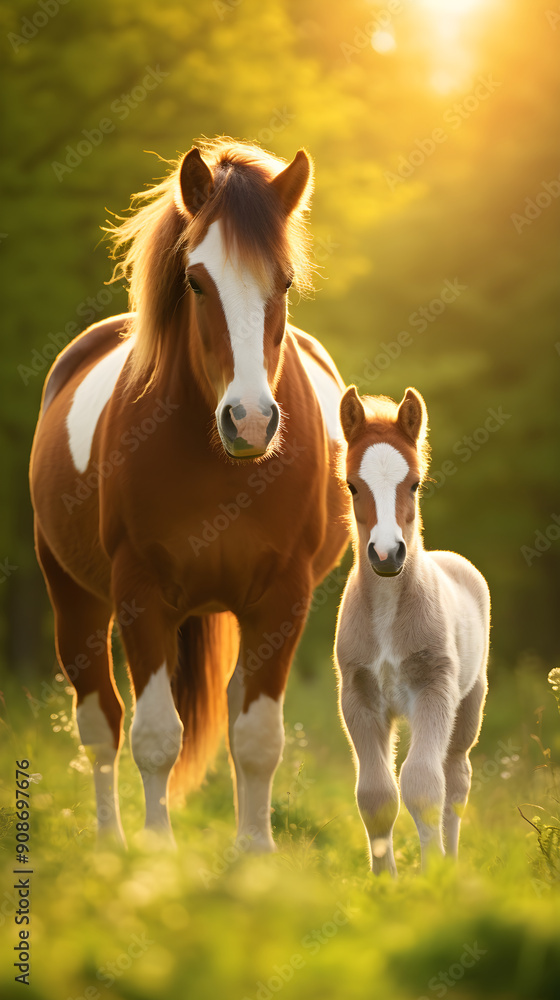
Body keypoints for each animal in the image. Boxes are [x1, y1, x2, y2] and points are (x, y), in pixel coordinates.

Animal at [30, 139, 349, 850]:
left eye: (285, 282)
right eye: (197, 282)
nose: (251, 421)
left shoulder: (283, 598)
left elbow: (255, 740)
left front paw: (254, 856)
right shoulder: (140, 594)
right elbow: (154, 737)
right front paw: (155, 854)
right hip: (75, 599)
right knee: (101, 723)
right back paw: (111, 845)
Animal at [335, 385, 490, 874]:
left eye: (415, 483)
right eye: (353, 484)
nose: (387, 555)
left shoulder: (434, 689)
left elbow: (424, 785)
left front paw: (433, 876)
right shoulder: (359, 697)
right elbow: (376, 795)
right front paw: (384, 882)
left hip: (469, 704)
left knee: (456, 781)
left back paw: (453, 862)